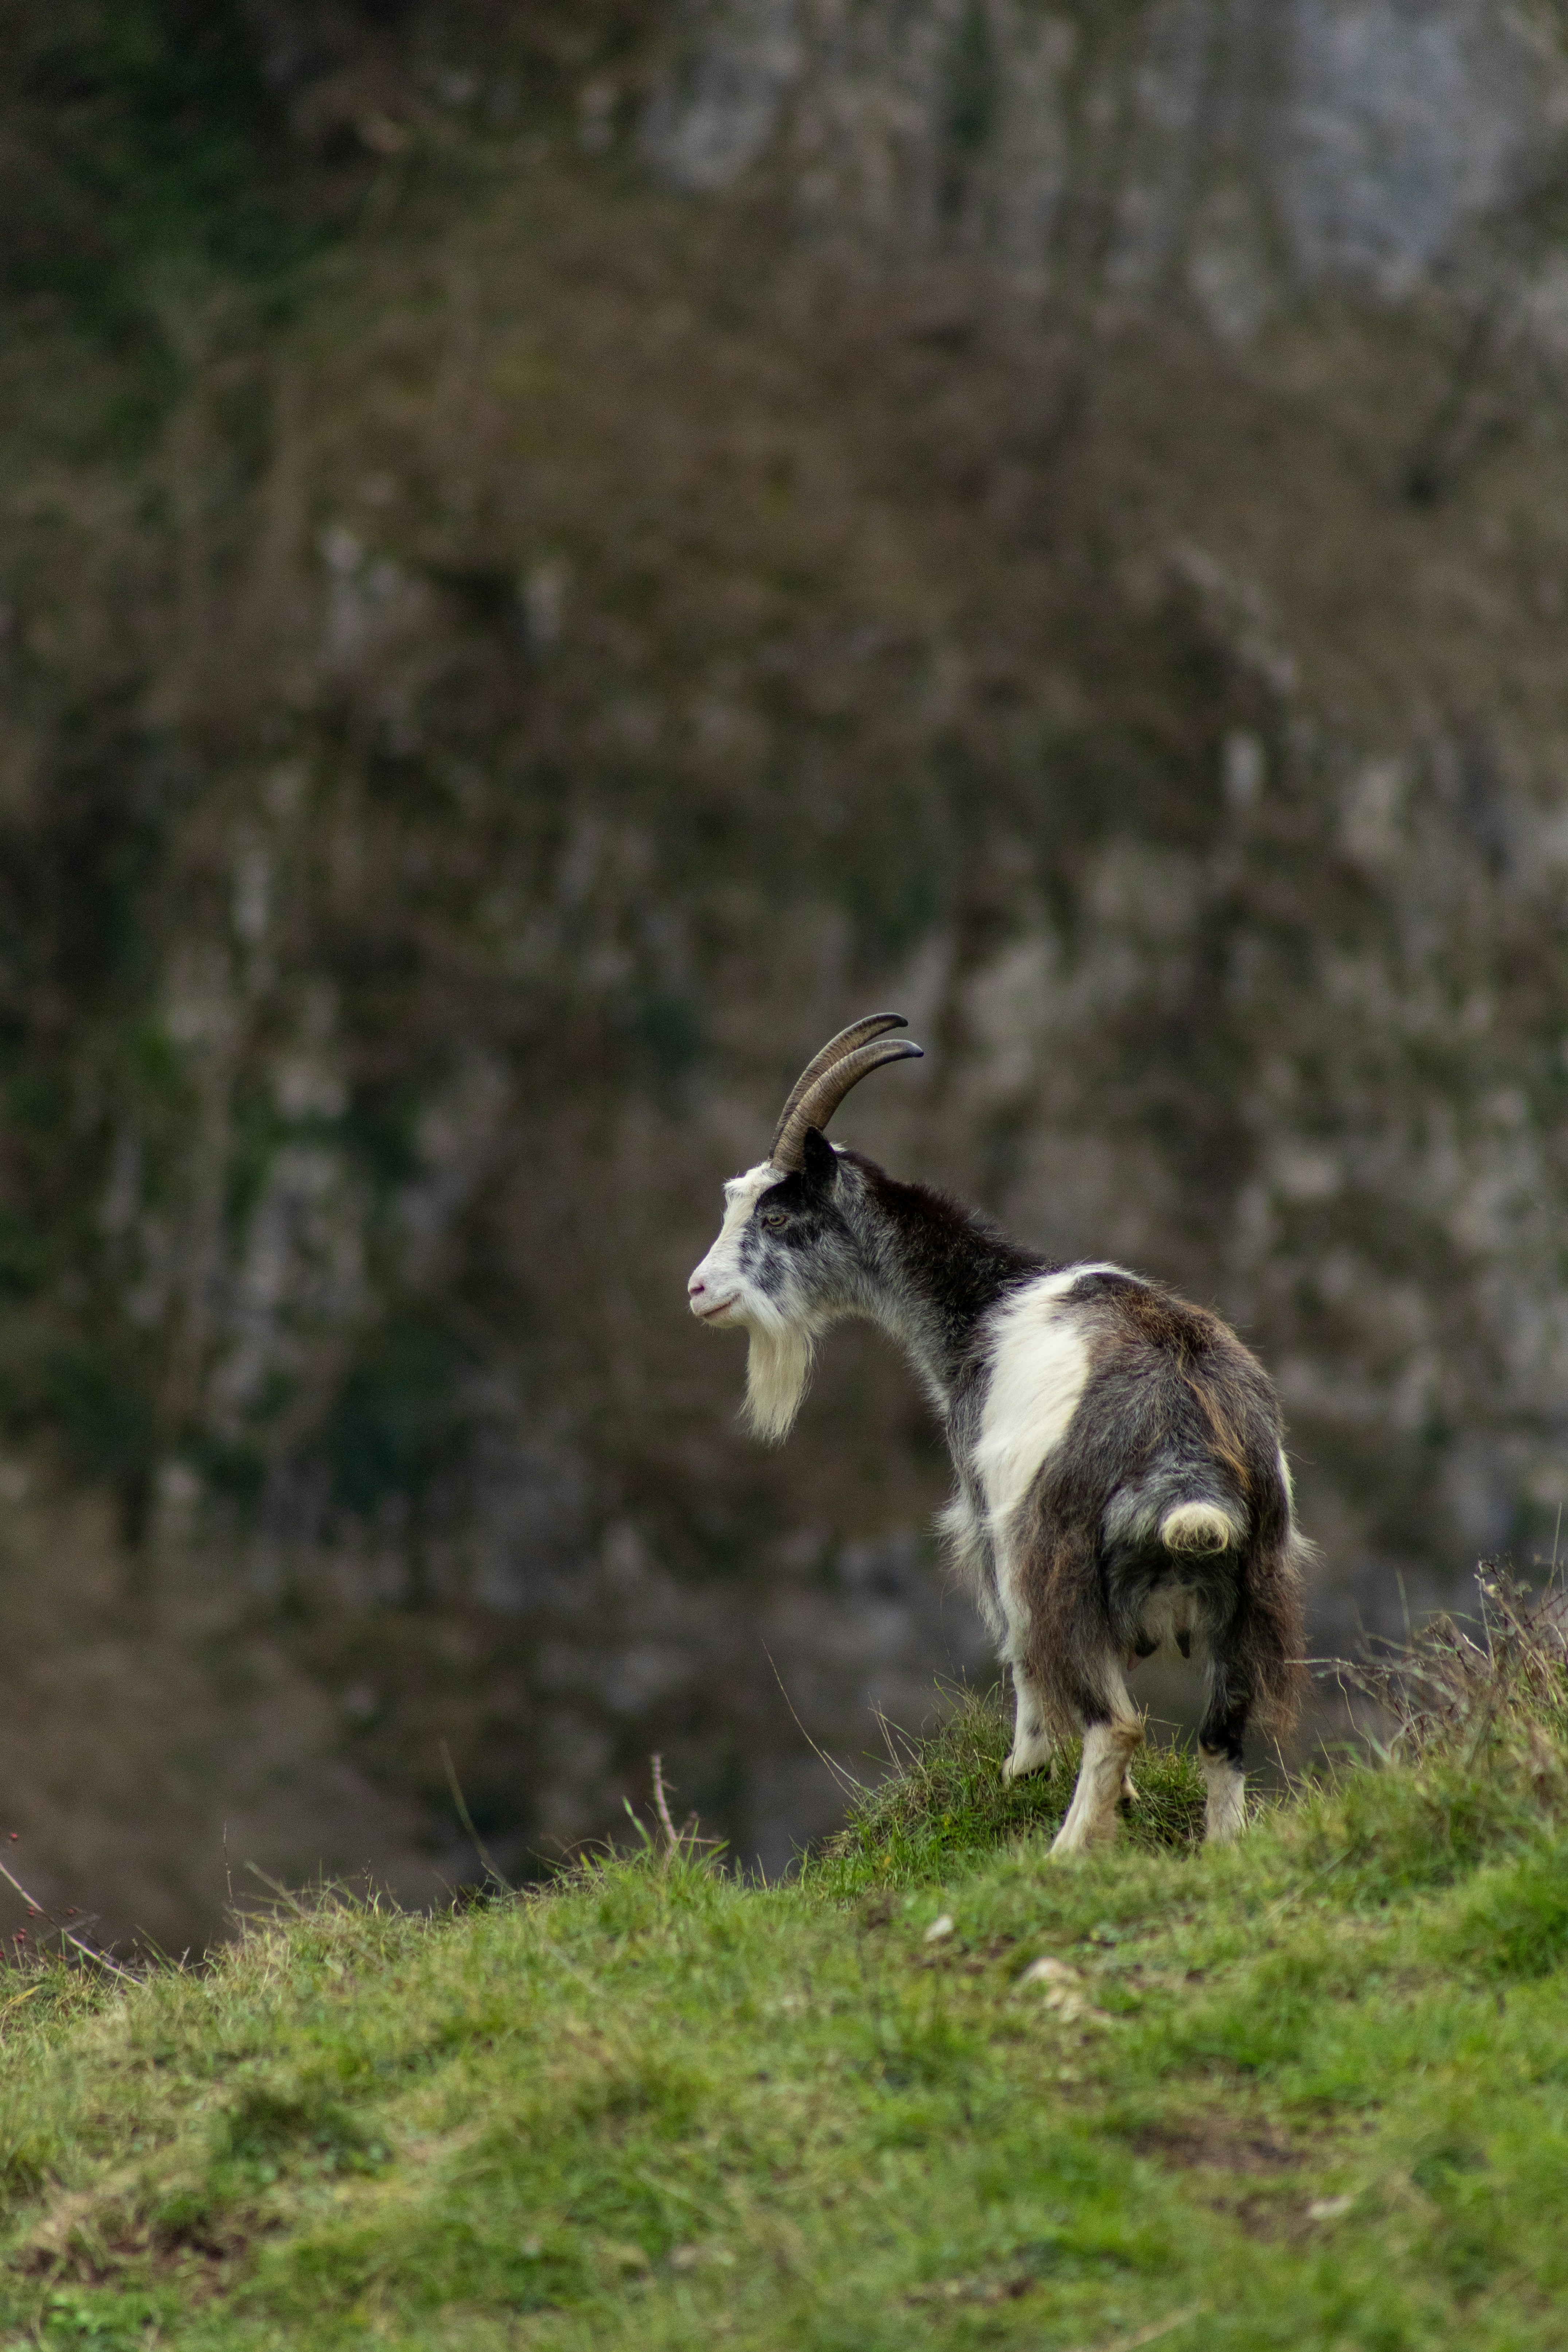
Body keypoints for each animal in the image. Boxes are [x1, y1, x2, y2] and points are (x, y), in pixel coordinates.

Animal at [688, 1013, 1308, 1853]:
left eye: (777, 1216)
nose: (699, 1291)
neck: (983, 1301)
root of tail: (1182, 1460)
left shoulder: (986, 1517)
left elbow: (1016, 1651)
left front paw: (1023, 1766)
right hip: (1253, 1593)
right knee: (1221, 1733)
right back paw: (1220, 1848)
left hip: (1055, 1559)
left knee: (1111, 1718)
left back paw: (1064, 1853)